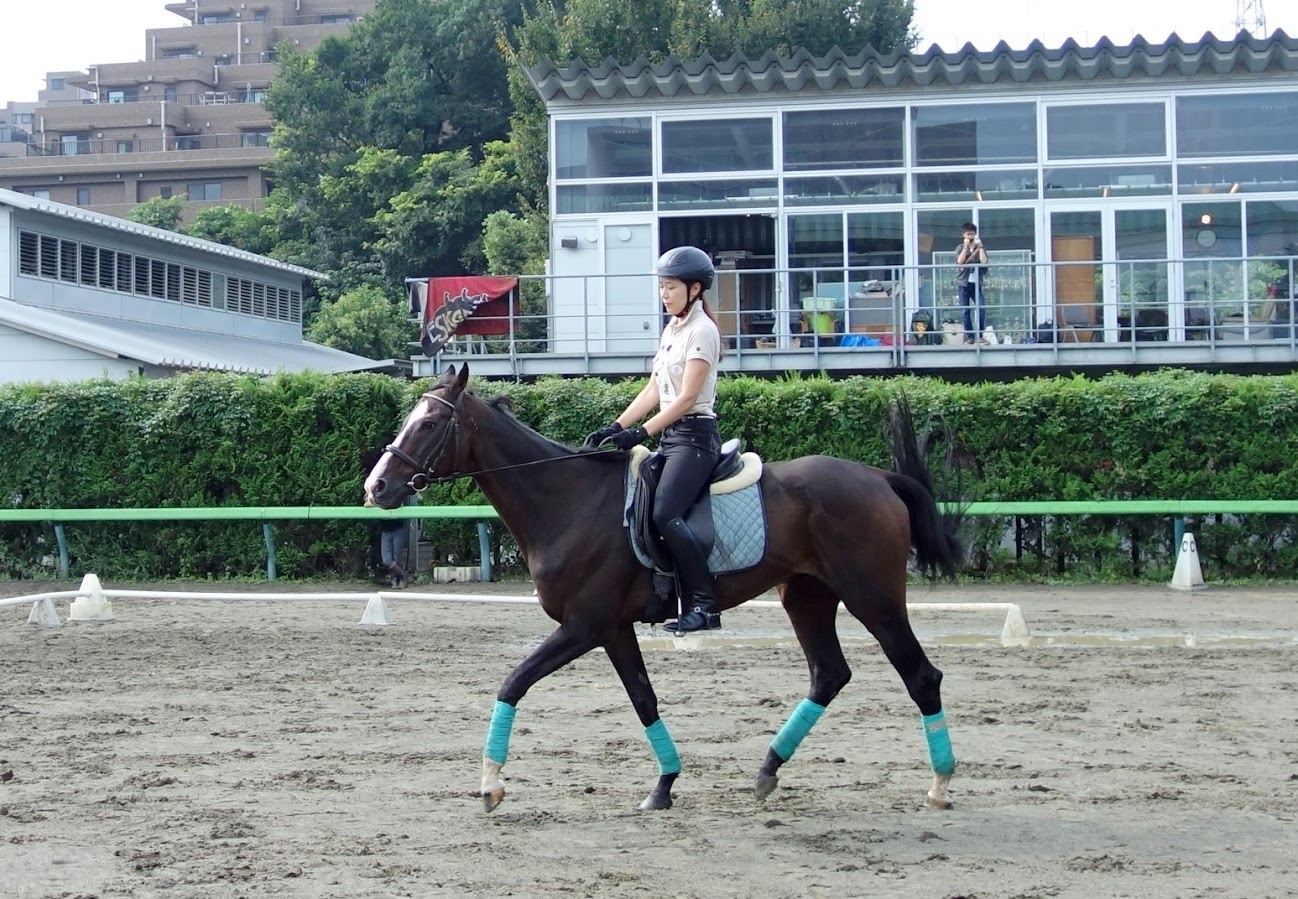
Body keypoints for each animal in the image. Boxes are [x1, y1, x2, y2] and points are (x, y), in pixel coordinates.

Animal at [364, 364, 964, 813]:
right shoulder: (612, 629)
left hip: (873, 599)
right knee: (829, 674)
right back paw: (767, 770)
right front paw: (664, 785)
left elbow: (513, 683)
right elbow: (643, 698)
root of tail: (878, 477)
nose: (377, 487)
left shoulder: (584, 626)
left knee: (921, 676)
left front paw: (490, 784)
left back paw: (939, 786)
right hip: (807, 596)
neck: (569, 500)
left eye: (429, 424)